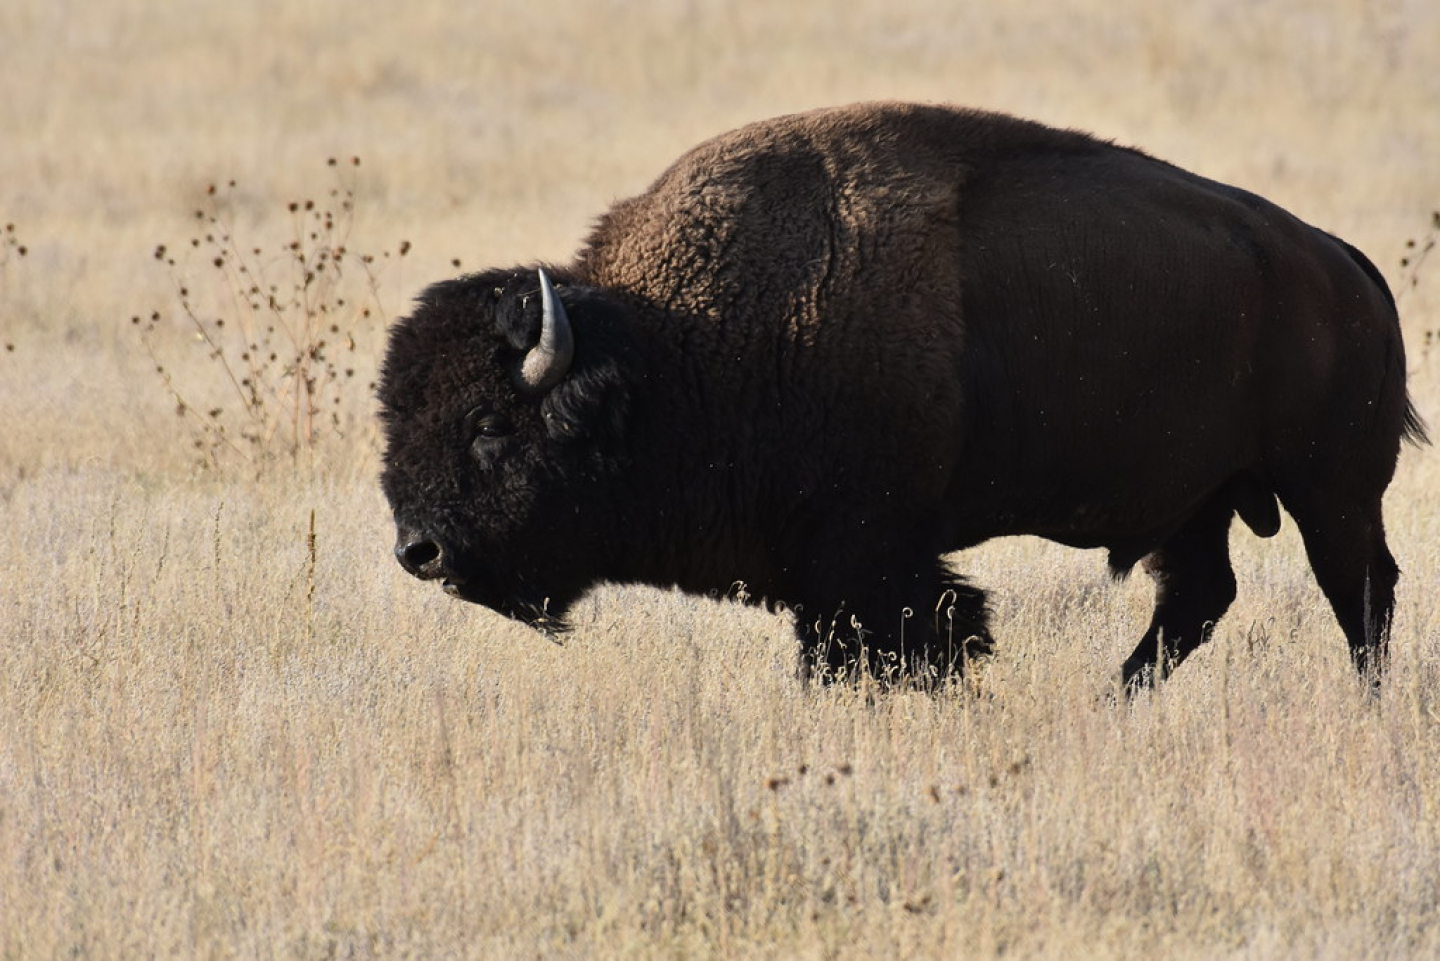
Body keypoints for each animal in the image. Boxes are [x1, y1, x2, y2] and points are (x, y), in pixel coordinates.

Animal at [379, 102, 1425, 688]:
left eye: (488, 426)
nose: (418, 551)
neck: (674, 349)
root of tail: (1346, 267)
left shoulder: (866, 554)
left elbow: (901, 642)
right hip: (1196, 499)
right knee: (1199, 601)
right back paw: (1111, 700)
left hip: (1330, 488)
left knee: (1361, 593)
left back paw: (1364, 710)